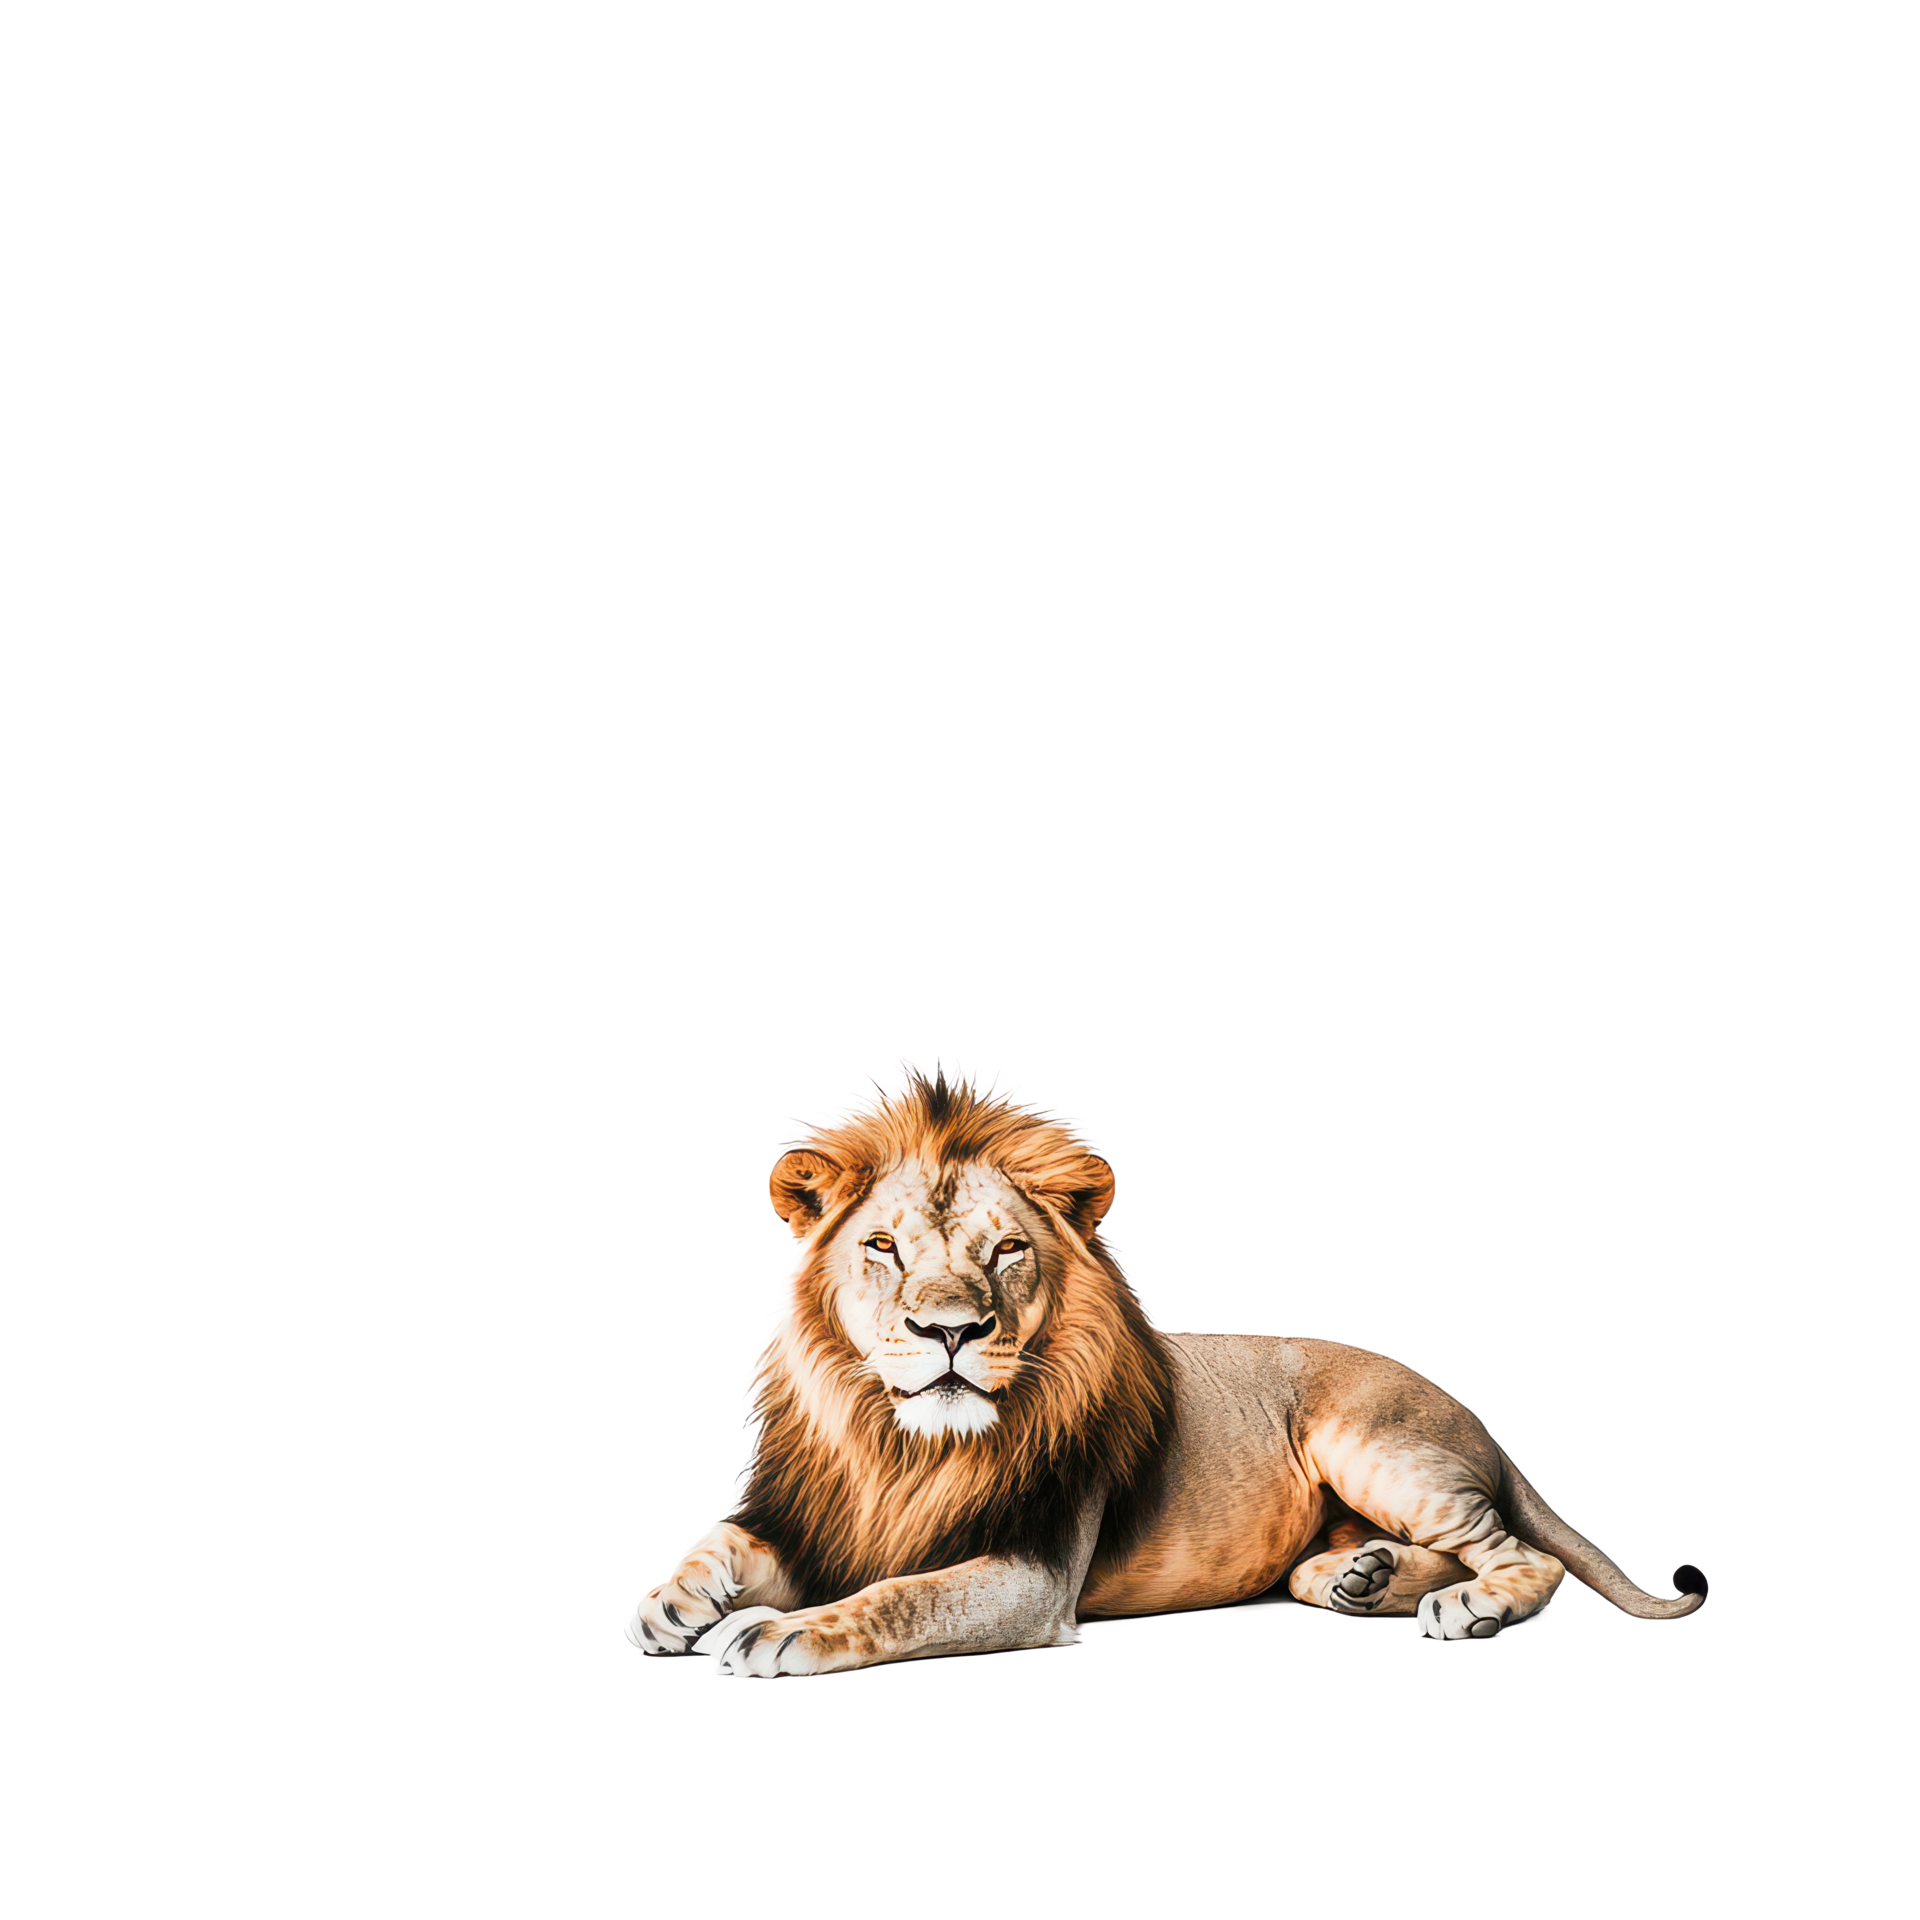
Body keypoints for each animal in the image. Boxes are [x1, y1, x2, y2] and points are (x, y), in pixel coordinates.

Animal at [622, 1057, 1709, 1677]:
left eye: (1006, 1250)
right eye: (882, 1248)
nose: (948, 1331)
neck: (899, 1444)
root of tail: (1467, 1407)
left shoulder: (1031, 1574)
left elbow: (899, 1598)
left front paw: (777, 1632)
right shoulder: (805, 1520)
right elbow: (715, 1544)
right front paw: (665, 1606)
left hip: (1371, 1444)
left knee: (1523, 1557)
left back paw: (1466, 1605)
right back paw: (1359, 1577)